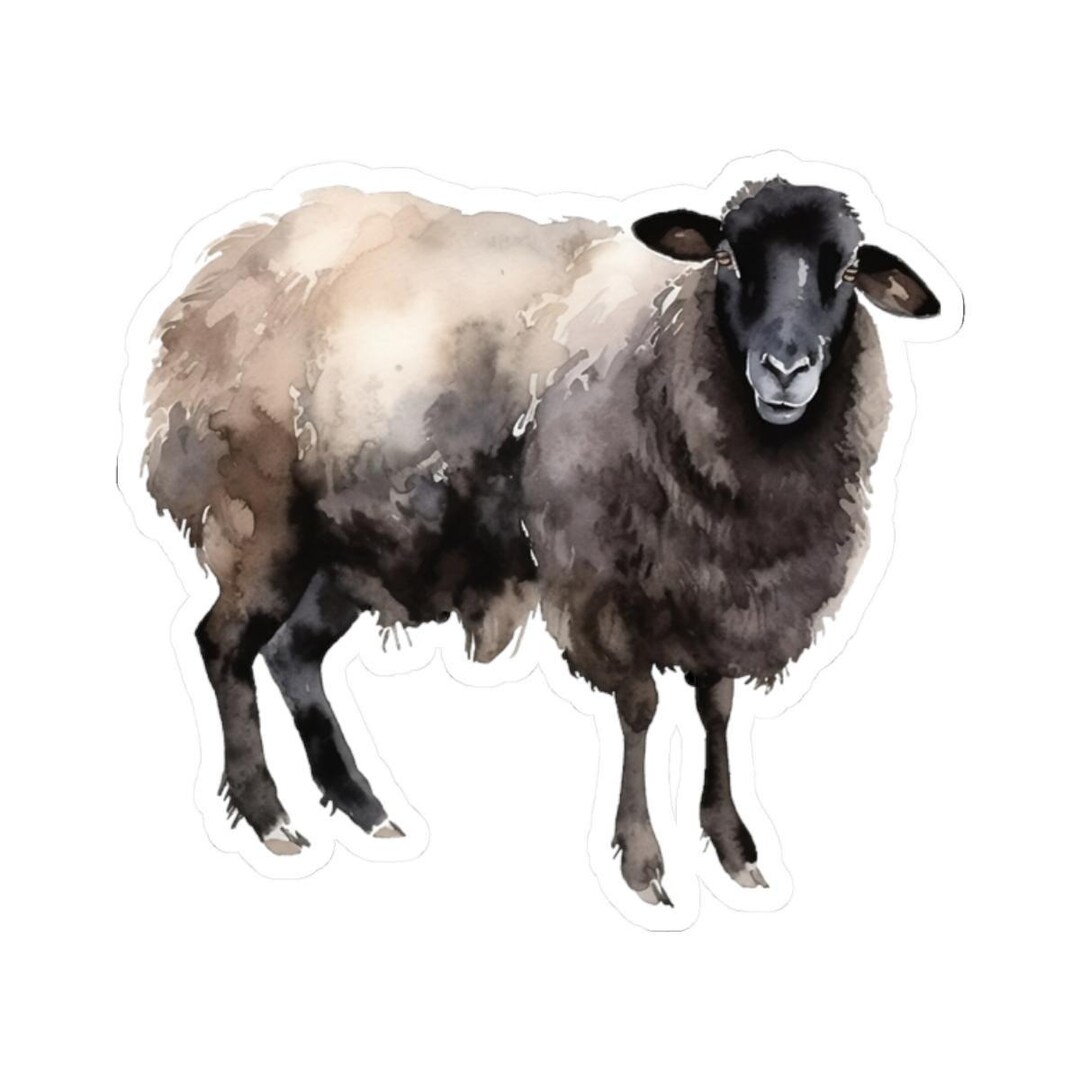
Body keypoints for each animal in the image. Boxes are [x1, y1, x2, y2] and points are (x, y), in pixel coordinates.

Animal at [143, 178, 943, 903]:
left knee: (292, 653)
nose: (785, 369)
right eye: (726, 256)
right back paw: (268, 815)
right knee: (223, 644)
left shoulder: (714, 588)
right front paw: (643, 862)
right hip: (261, 524)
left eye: (847, 271)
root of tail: (221, 275)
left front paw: (732, 846)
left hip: (345, 549)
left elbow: (716, 707)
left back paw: (365, 808)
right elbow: (639, 708)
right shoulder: (603, 581)